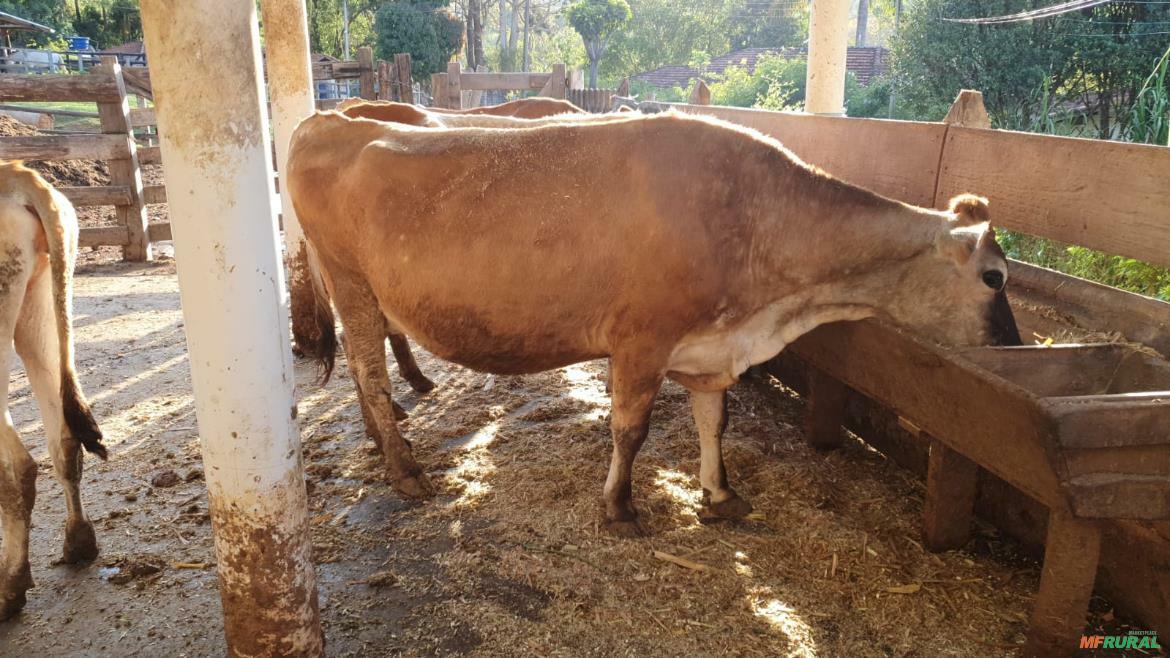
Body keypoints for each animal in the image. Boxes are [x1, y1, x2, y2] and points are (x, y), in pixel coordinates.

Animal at [287, 110, 1021, 536]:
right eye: (995, 278)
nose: (1014, 346)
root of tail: (329, 118)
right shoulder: (641, 340)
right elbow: (630, 430)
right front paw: (619, 508)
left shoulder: (708, 348)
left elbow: (713, 422)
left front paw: (720, 494)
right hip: (351, 282)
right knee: (368, 371)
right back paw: (405, 468)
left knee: (367, 372)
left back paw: (385, 446)